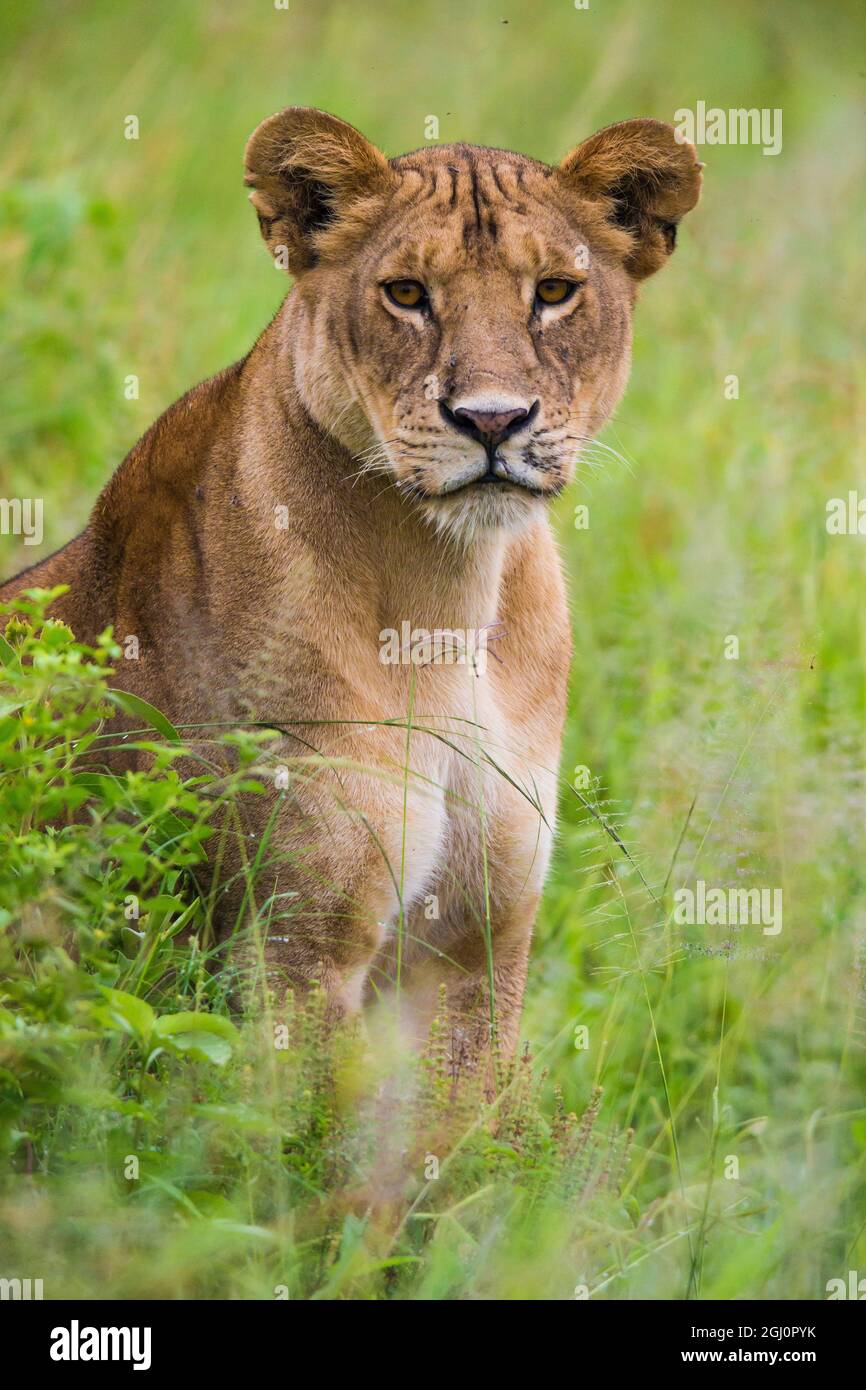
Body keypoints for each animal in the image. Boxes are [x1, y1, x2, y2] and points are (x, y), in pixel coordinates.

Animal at [0, 109, 701, 1065]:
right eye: (406, 294)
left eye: (555, 291)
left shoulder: (476, 947)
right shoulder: (293, 951)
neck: (452, 601)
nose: (492, 420)